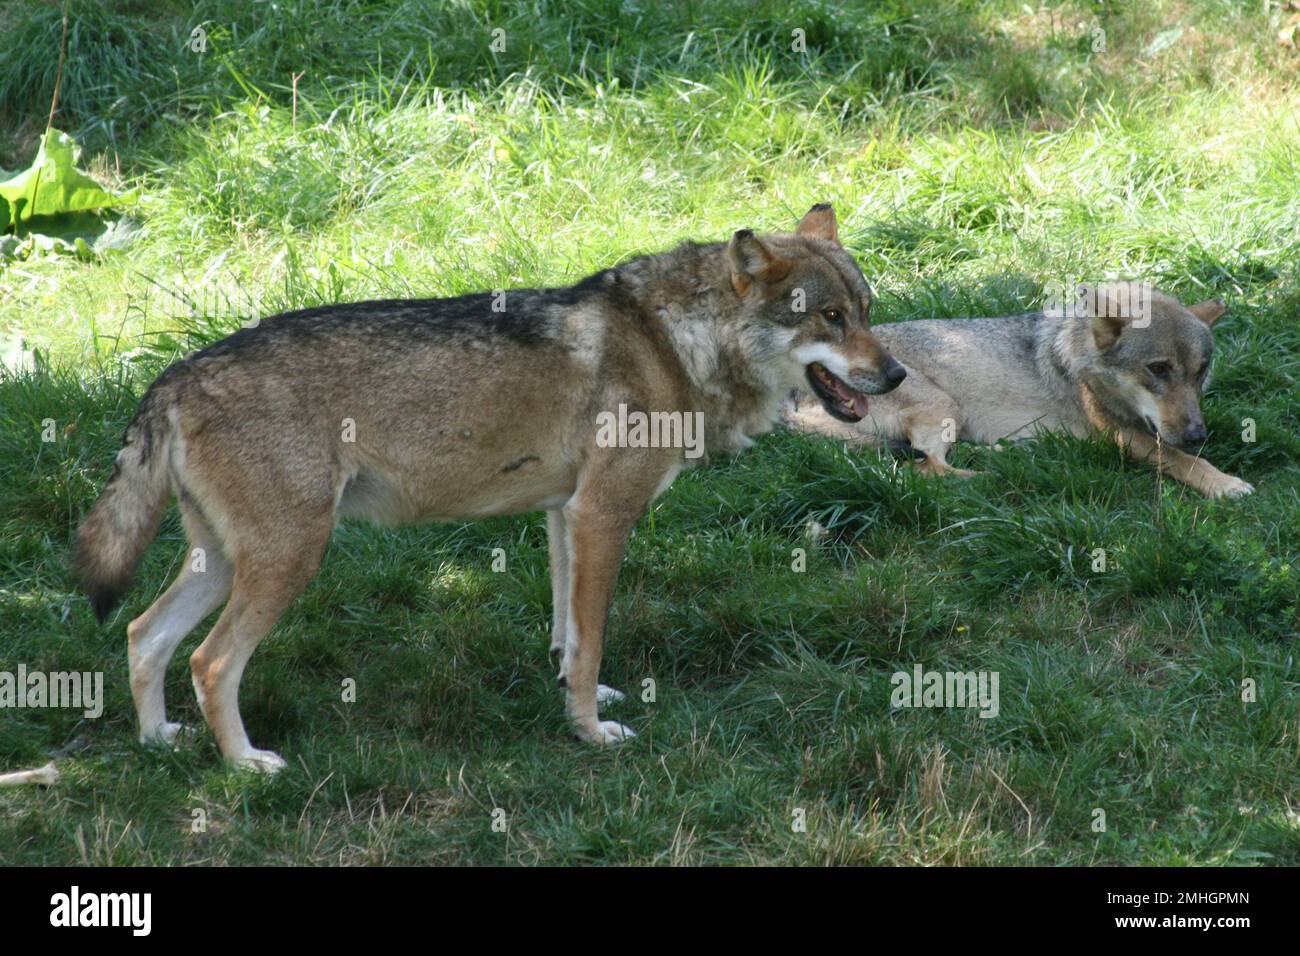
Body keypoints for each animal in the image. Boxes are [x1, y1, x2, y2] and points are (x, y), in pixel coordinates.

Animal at [74, 204, 905, 772]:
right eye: (830, 318)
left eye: (866, 313)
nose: (896, 374)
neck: (676, 341)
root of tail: (176, 374)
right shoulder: (604, 515)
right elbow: (594, 640)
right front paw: (591, 733)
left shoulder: (565, 516)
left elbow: (569, 635)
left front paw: (577, 699)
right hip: (288, 559)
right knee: (209, 663)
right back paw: (246, 767)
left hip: (224, 562)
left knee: (142, 634)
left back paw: (158, 742)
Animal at [785, 283, 1253, 498]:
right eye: (1158, 369)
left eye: (1200, 372)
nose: (1197, 435)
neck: (1082, 352)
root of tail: (792, 395)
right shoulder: (1123, 436)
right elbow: (1184, 462)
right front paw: (1225, 483)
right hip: (944, 405)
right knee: (928, 470)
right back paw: (1006, 472)